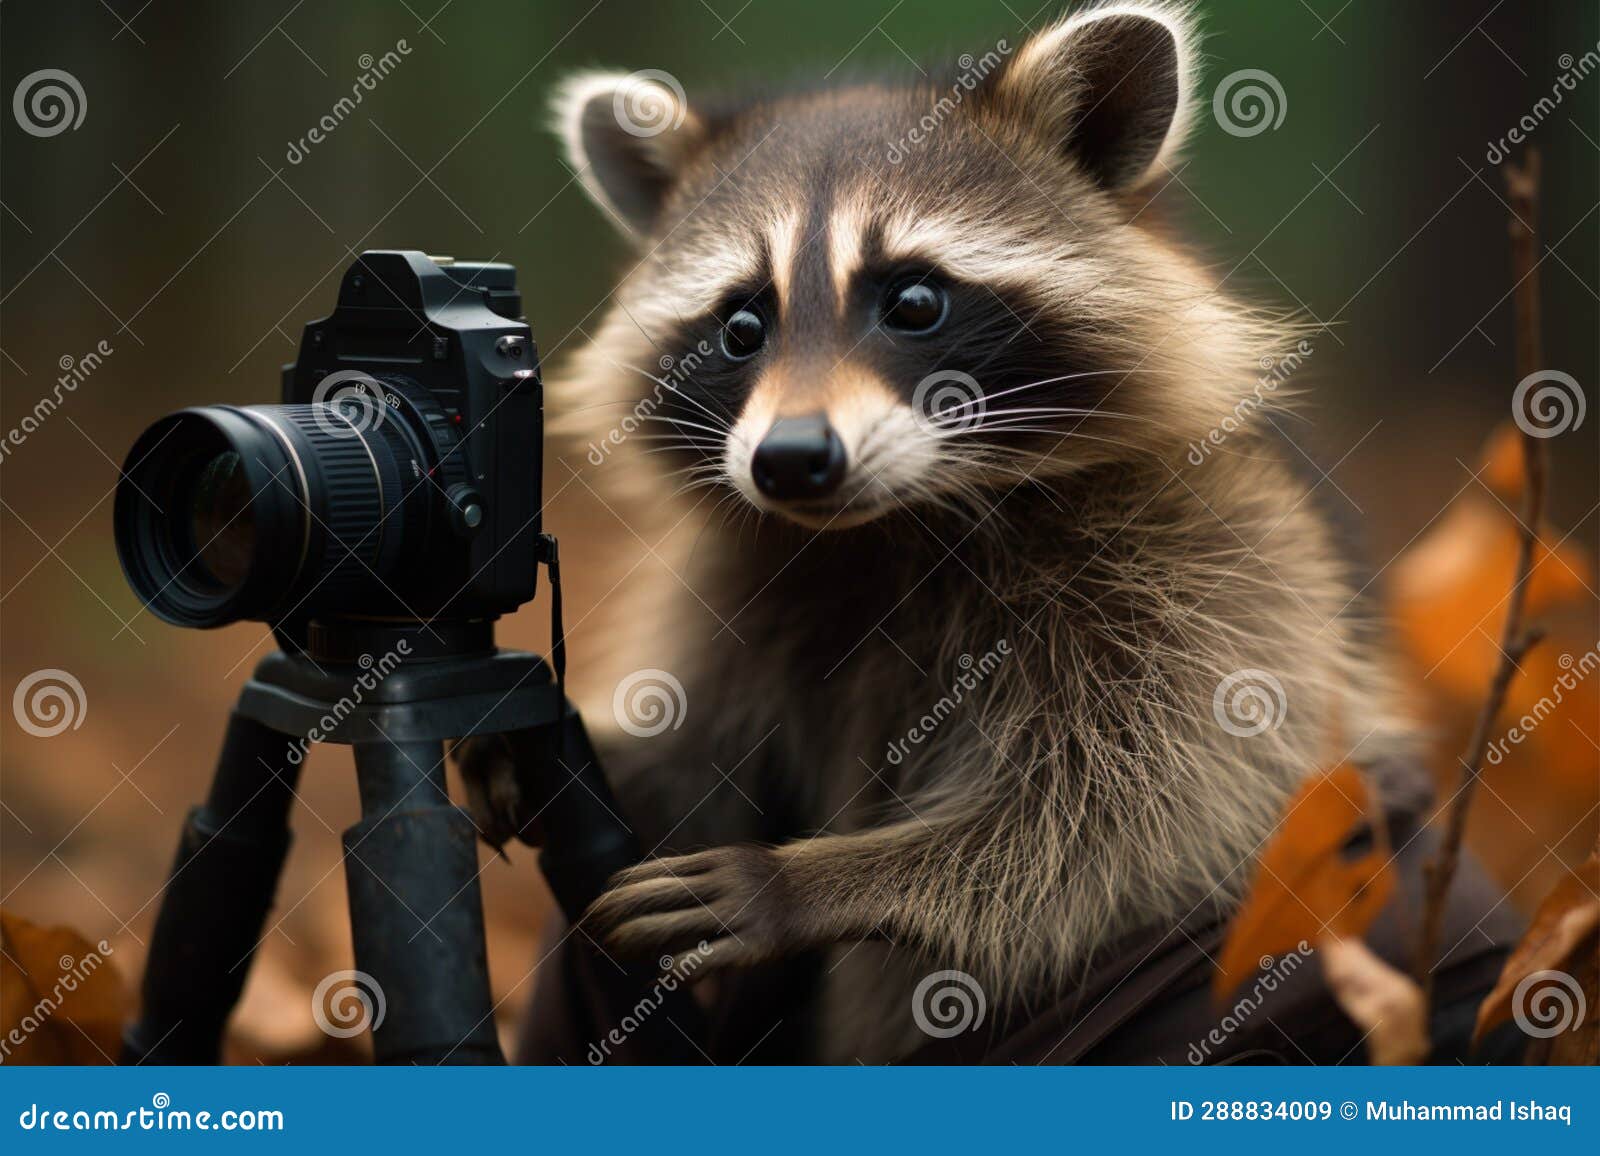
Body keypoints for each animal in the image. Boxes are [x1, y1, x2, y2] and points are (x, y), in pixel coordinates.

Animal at [469, 1, 1413, 1063]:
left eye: (915, 301)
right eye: (741, 326)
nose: (790, 459)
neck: (896, 523)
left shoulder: (1208, 556)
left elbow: (1139, 816)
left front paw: (821, 879)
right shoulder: (736, 582)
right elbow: (686, 767)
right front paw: (564, 746)